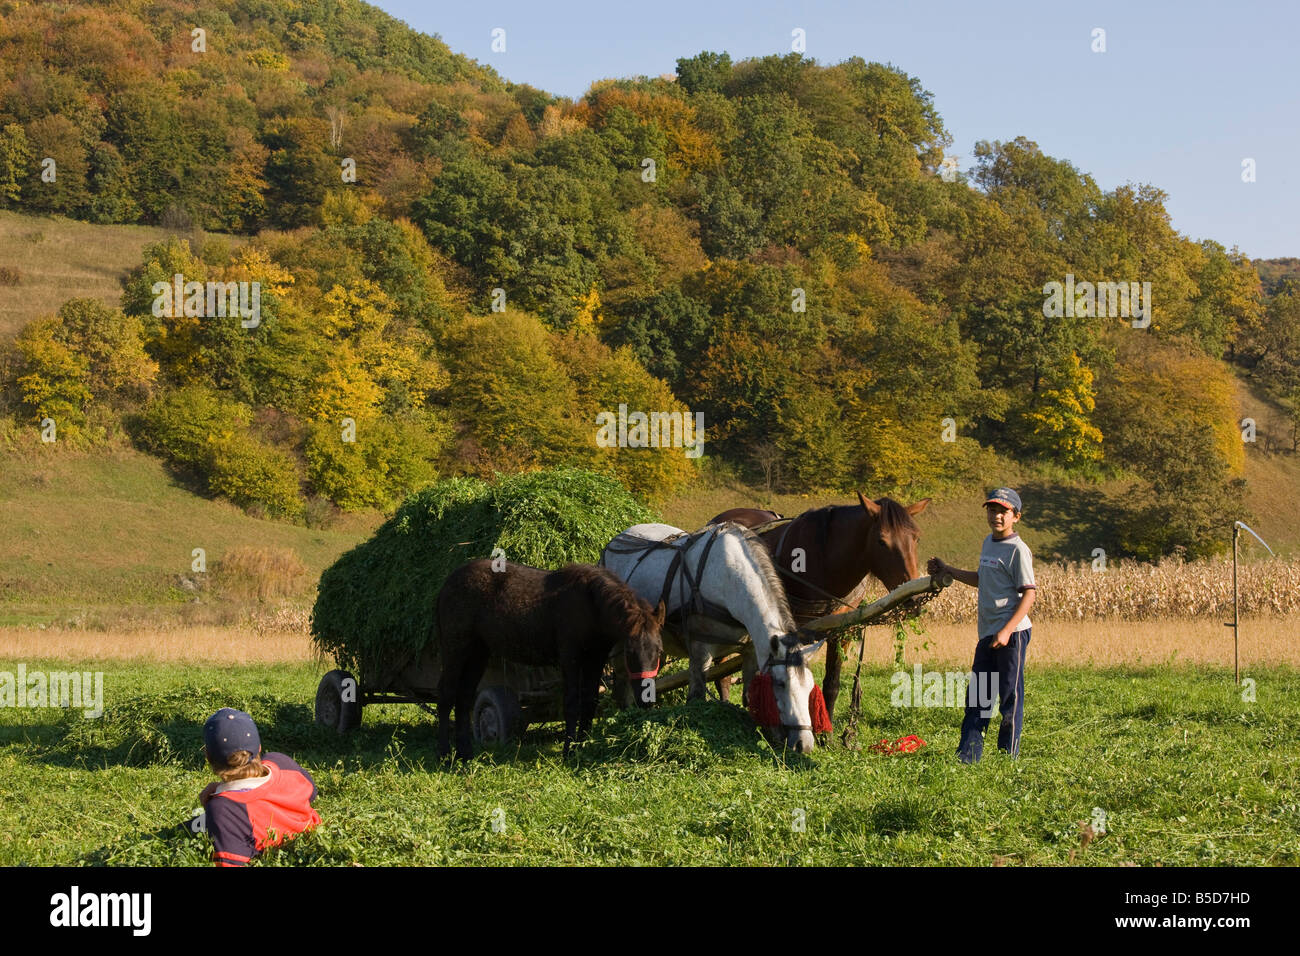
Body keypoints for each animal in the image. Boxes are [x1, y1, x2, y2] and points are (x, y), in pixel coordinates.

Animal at [436, 560, 665, 761]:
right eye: (629, 652)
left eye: (660, 650)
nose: (646, 699)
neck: (590, 603)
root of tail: (448, 582)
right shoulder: (570, 656)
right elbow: (572, 703)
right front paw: (569, 750)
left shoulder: (595, 658)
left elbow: (589, 702)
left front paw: (583, 746)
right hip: (455, 651)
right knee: (446, 696)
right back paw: (444, 754)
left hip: (477, 654)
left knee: (463, 699)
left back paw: (465, 754)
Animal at [601, 521, 818, 754]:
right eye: (780, 683)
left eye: (810, 688)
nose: (804, 745)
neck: (730, 577)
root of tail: (616, 540)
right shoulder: (700, 651)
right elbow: (696, 698)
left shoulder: (750, 652)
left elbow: (748, 696)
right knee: (622, 678)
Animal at [709, 492, 930, 726]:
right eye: (881, 540)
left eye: (916, 538)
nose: (915, 599)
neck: (823, 560)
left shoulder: (842, 630)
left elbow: (831, 683)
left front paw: (827, 731)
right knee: (721, 671)